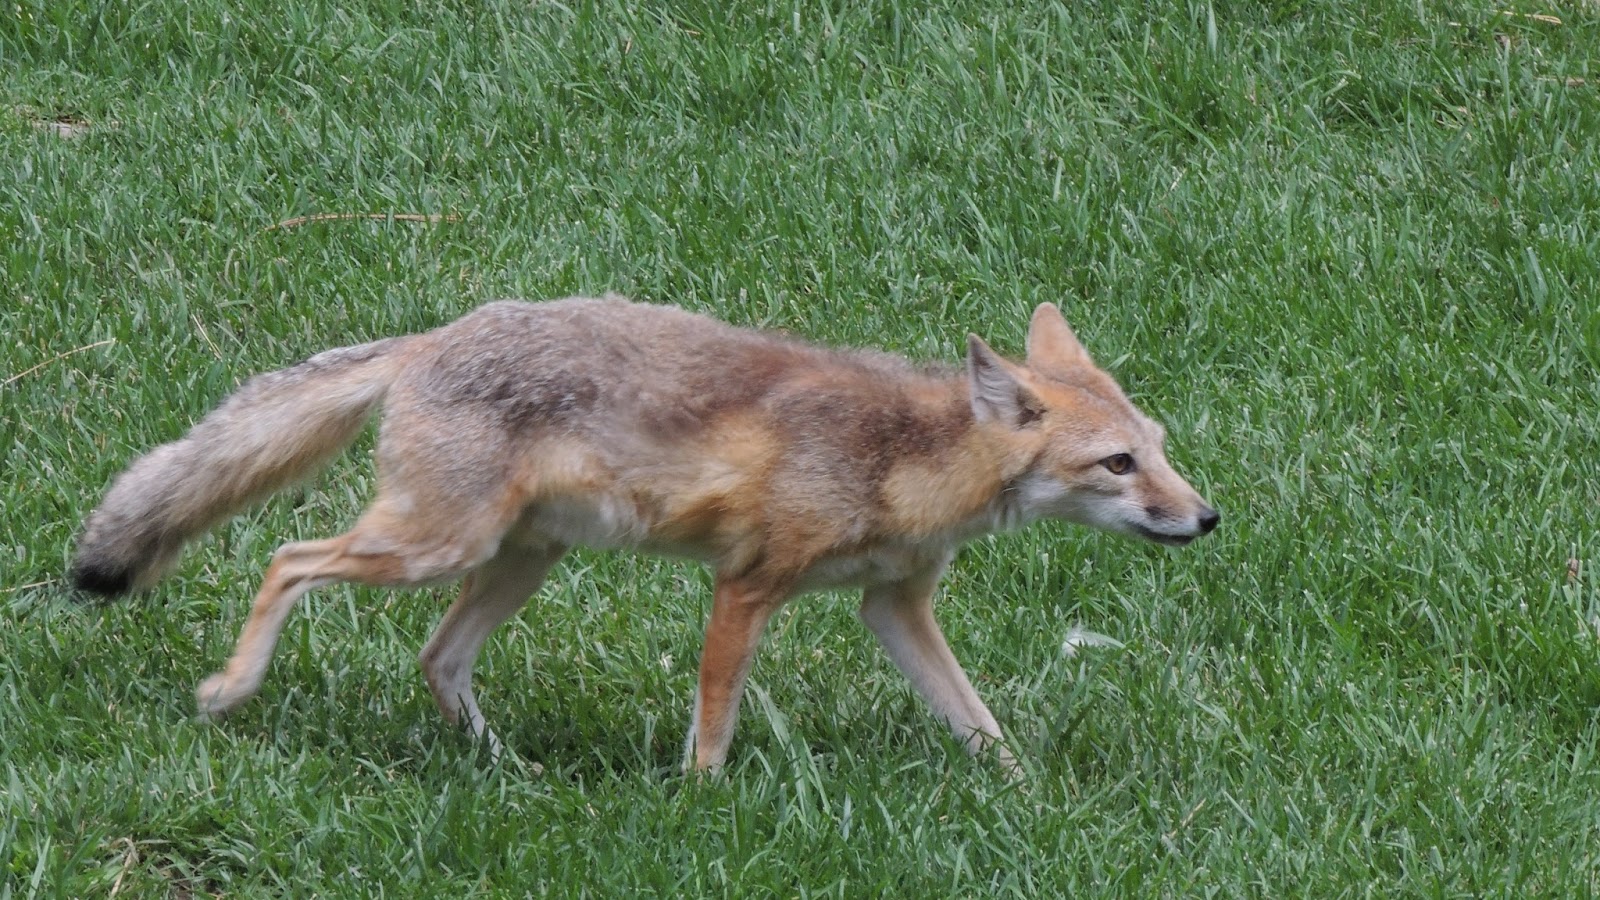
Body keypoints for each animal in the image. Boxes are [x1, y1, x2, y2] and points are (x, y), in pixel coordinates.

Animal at [72, 295, 1218, 772]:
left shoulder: (891, 603)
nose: (1207, 518)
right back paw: (231, 690)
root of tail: (436, 333)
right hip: (430, 547)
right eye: (1118, 466)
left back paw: (509, 772)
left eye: (1160, 451)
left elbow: (980, 724)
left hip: (518, 562)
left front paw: (1029, 805)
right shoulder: (746, 586)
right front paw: (700, 806)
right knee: (286, 560)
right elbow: (714, 723)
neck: (902, 459)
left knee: (437, 658)